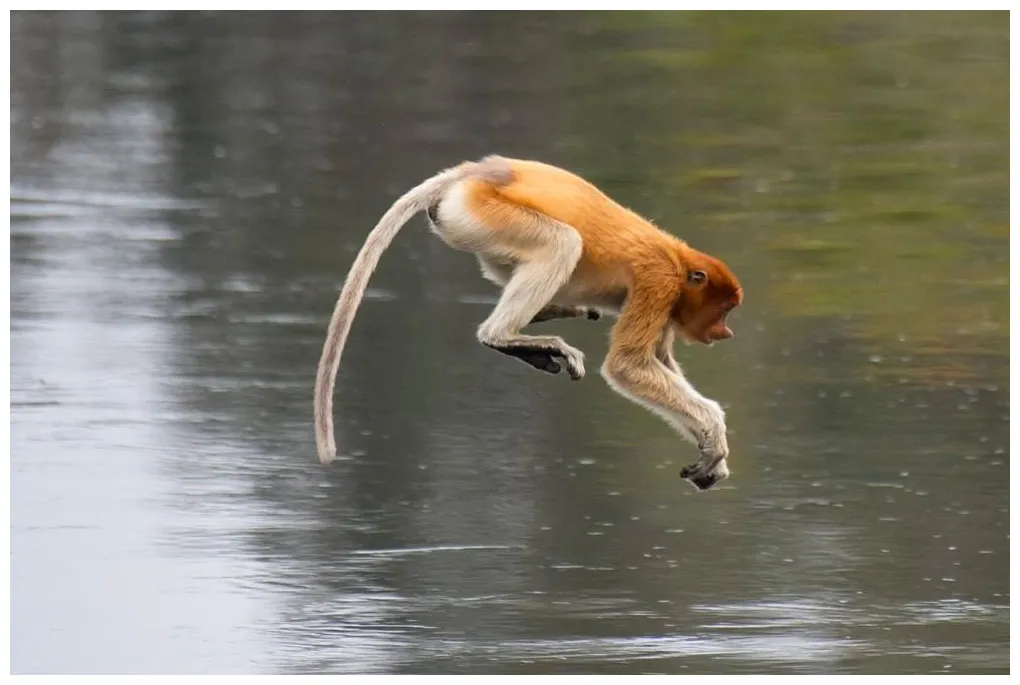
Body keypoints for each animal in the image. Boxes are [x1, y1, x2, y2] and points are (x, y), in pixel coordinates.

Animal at [314, 155, 743, 490]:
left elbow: (659, 361)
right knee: (562, 243)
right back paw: (507, 336)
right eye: (723, 310)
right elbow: (628, 365)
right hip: (487, 214)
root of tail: (475, 172)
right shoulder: (659, 281)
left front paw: (712, 456)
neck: (680, 261)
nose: (725, 332)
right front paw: (715, 433)